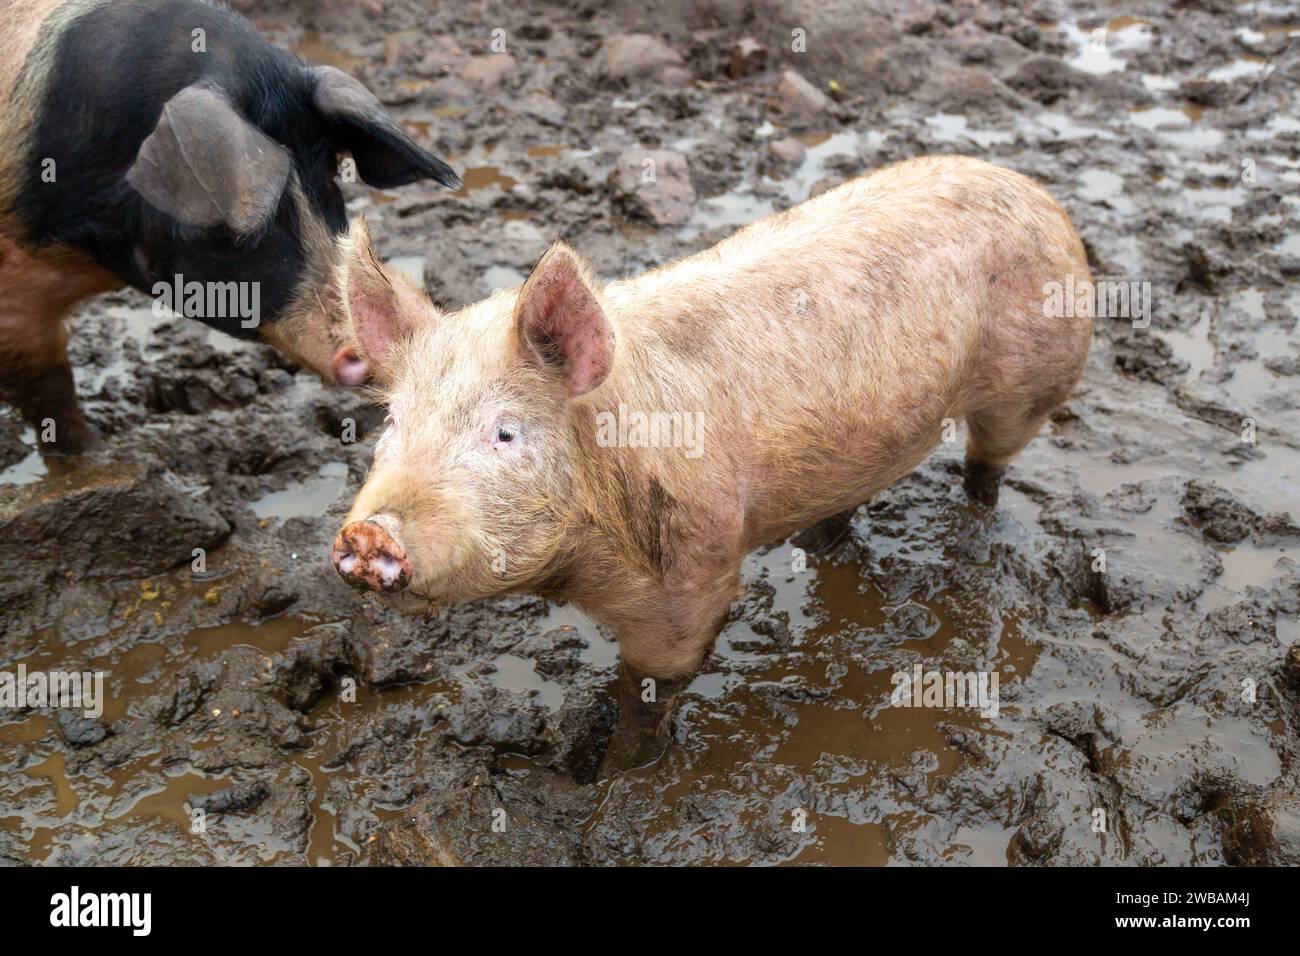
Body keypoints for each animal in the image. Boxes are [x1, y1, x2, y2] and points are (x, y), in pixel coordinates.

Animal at [0, 0, 459, 453]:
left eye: (329, 177)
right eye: (248, 228)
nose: (364, 345)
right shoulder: (18, 300)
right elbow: (52, 394)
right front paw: (93, 454)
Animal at [330, 155, 1094, 771]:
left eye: (505, 434)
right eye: (393, 421)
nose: (368, 533)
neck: (583, 572)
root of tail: (1033, 190)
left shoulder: (694, 573)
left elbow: (651, 689)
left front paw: (615, 778)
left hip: (1034, 380)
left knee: (988, 465)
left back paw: (976, 529)